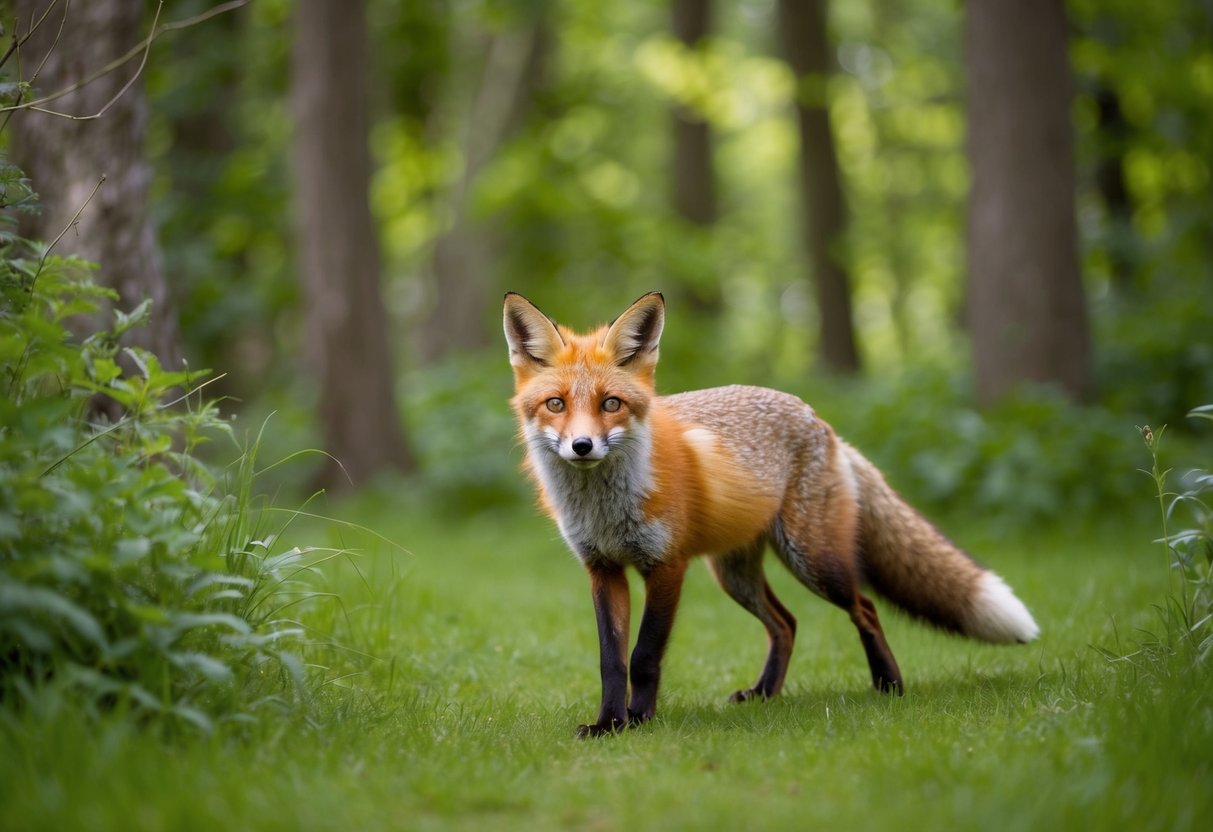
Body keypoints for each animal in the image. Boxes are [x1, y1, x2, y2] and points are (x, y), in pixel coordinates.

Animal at [503, 291, 1039, 738]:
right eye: (556, 404)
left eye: (611, 403)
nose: (582, 446)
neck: (605, 510)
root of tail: (822, 423)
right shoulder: (603, 569)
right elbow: (611, 661)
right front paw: (609, 725)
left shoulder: (667, 566)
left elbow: (644, 655)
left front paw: (639, 720)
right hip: (734, 574)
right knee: (787, 623)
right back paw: (765, 693)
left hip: (815, 561)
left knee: (864, 607)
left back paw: (888, 684)